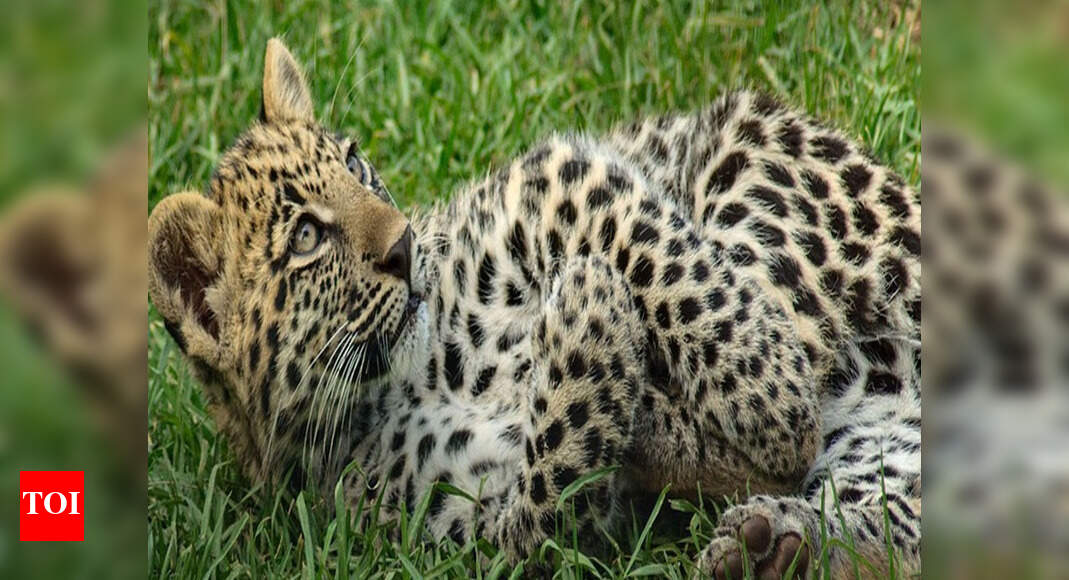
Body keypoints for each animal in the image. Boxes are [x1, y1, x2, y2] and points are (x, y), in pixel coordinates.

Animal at [148, 38, 921, 578]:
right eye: (307, 238)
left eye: (356, 165)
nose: (402, 246)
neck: (404, 376)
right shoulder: (474, 521)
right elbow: (555, 484)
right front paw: (591, 318)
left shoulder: (556, 177)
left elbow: (656, 254)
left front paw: (765, 399)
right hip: (880, 457)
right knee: (896, 535)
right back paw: (777, 549)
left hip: (747, 158)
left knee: (780, 302)